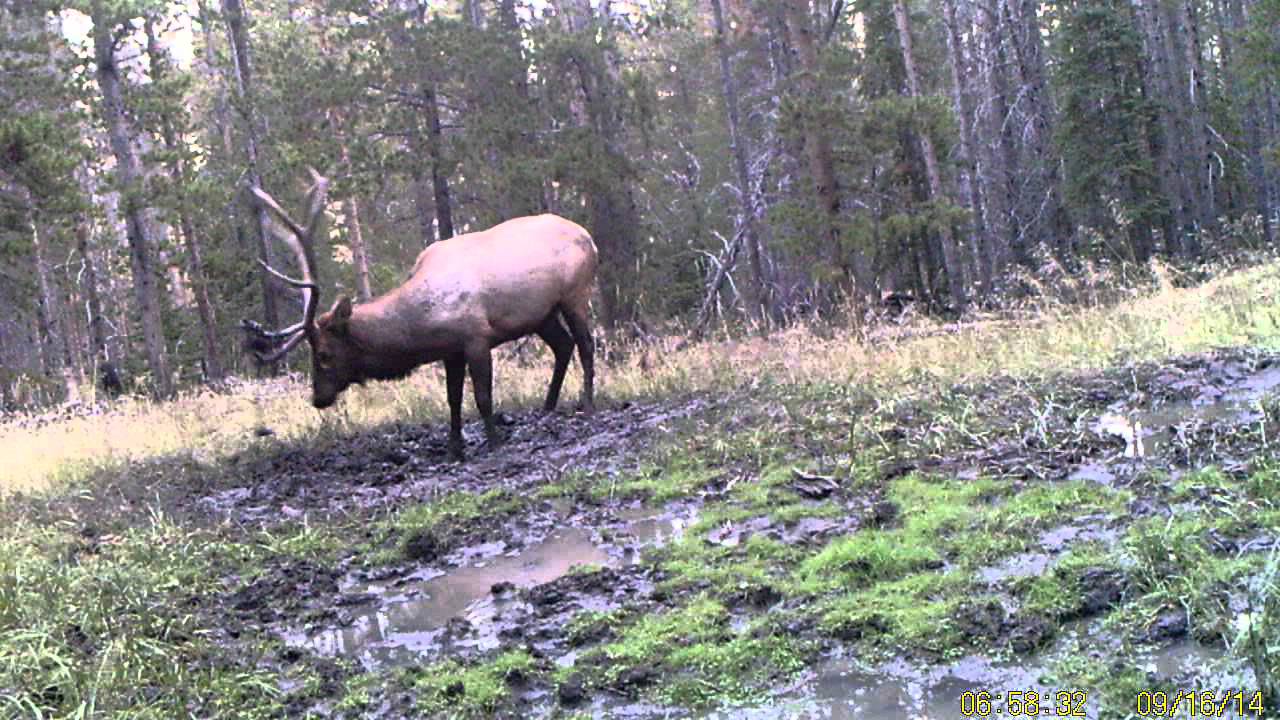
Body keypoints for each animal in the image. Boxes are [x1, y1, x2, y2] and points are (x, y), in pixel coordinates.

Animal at [241, 169, 597, 461]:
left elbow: (482, 396)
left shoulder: (476, 337)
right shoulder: (452, 350)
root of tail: (588, 236)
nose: (317, 398)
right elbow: (453, 399)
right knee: (563, 345)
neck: (421, 330)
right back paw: (548, 405)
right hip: (542, 314)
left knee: (585, 344)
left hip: (575, 294)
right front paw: (454, 448)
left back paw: (588, 403)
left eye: (325, 354)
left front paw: (494, 441)